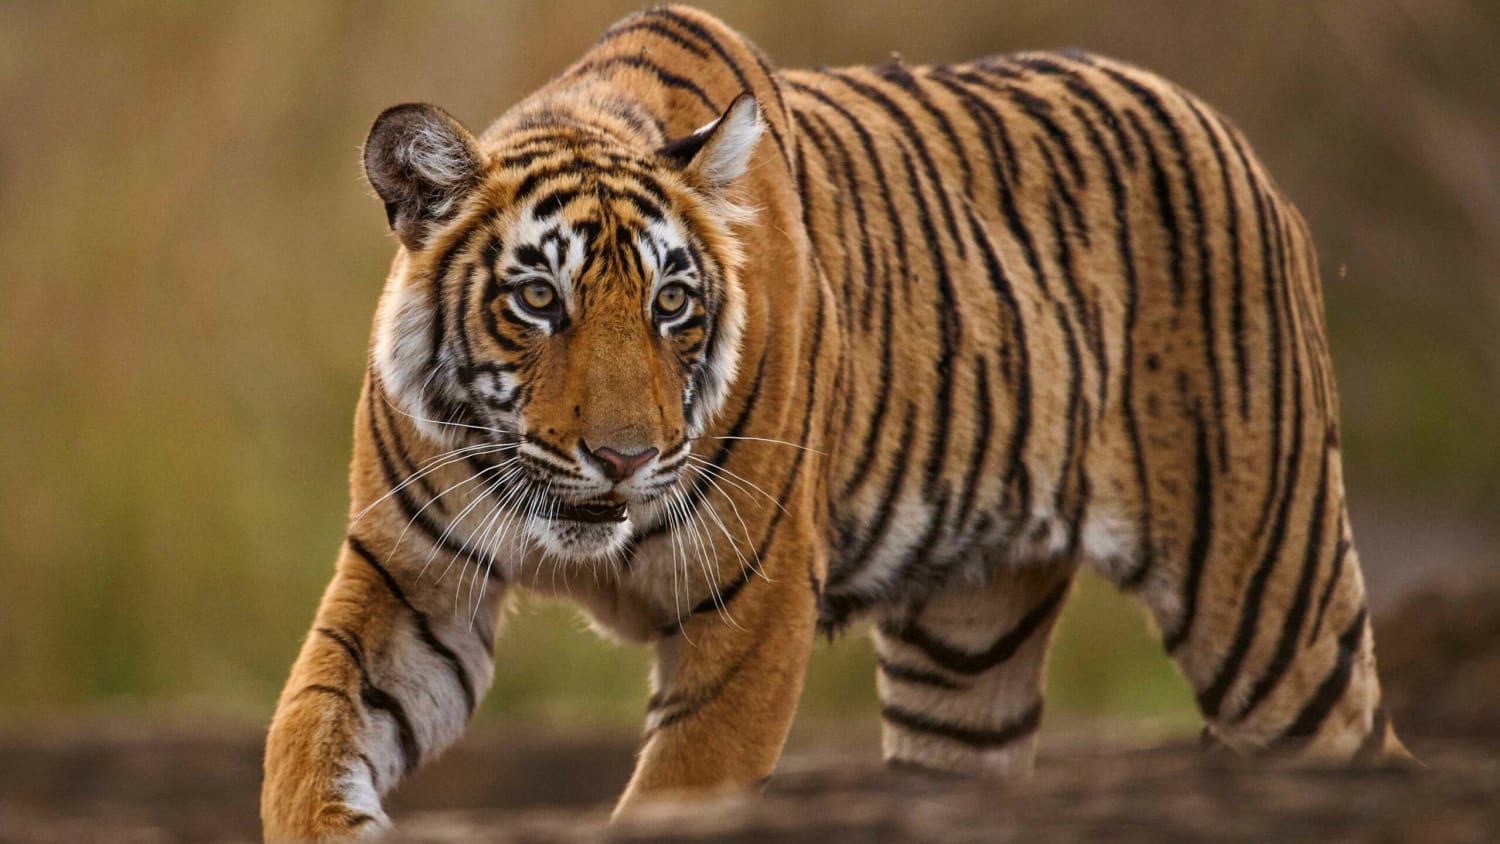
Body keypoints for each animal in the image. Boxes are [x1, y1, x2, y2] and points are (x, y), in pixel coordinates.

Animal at [261, 5, 1408, 839]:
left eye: (672, 304)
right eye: (539, 299)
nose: (625, 459)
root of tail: (1221, 129)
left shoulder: (754, 613)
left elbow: (679, 789)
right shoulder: (413, 582)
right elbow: (306, 734)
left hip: (1266, 598)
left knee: (1358, 743)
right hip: (967, 652)